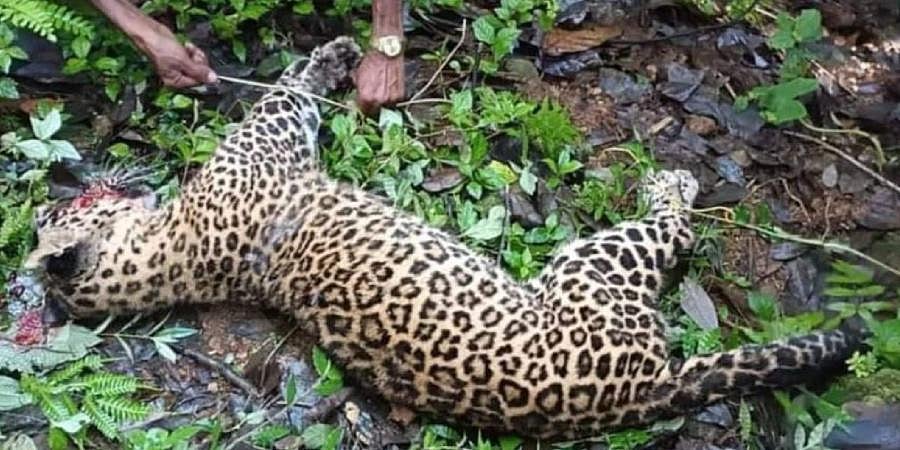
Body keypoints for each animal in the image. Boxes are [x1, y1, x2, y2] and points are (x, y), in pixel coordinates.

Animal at [25, 36, 865, 440]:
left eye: (73, 203)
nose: (94, 181)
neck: (169, 255)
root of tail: (647, 391)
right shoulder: (272, 138)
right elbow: (289, 91)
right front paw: (332, 57)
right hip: (592, 266)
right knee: (671, 225)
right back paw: (672, 182)